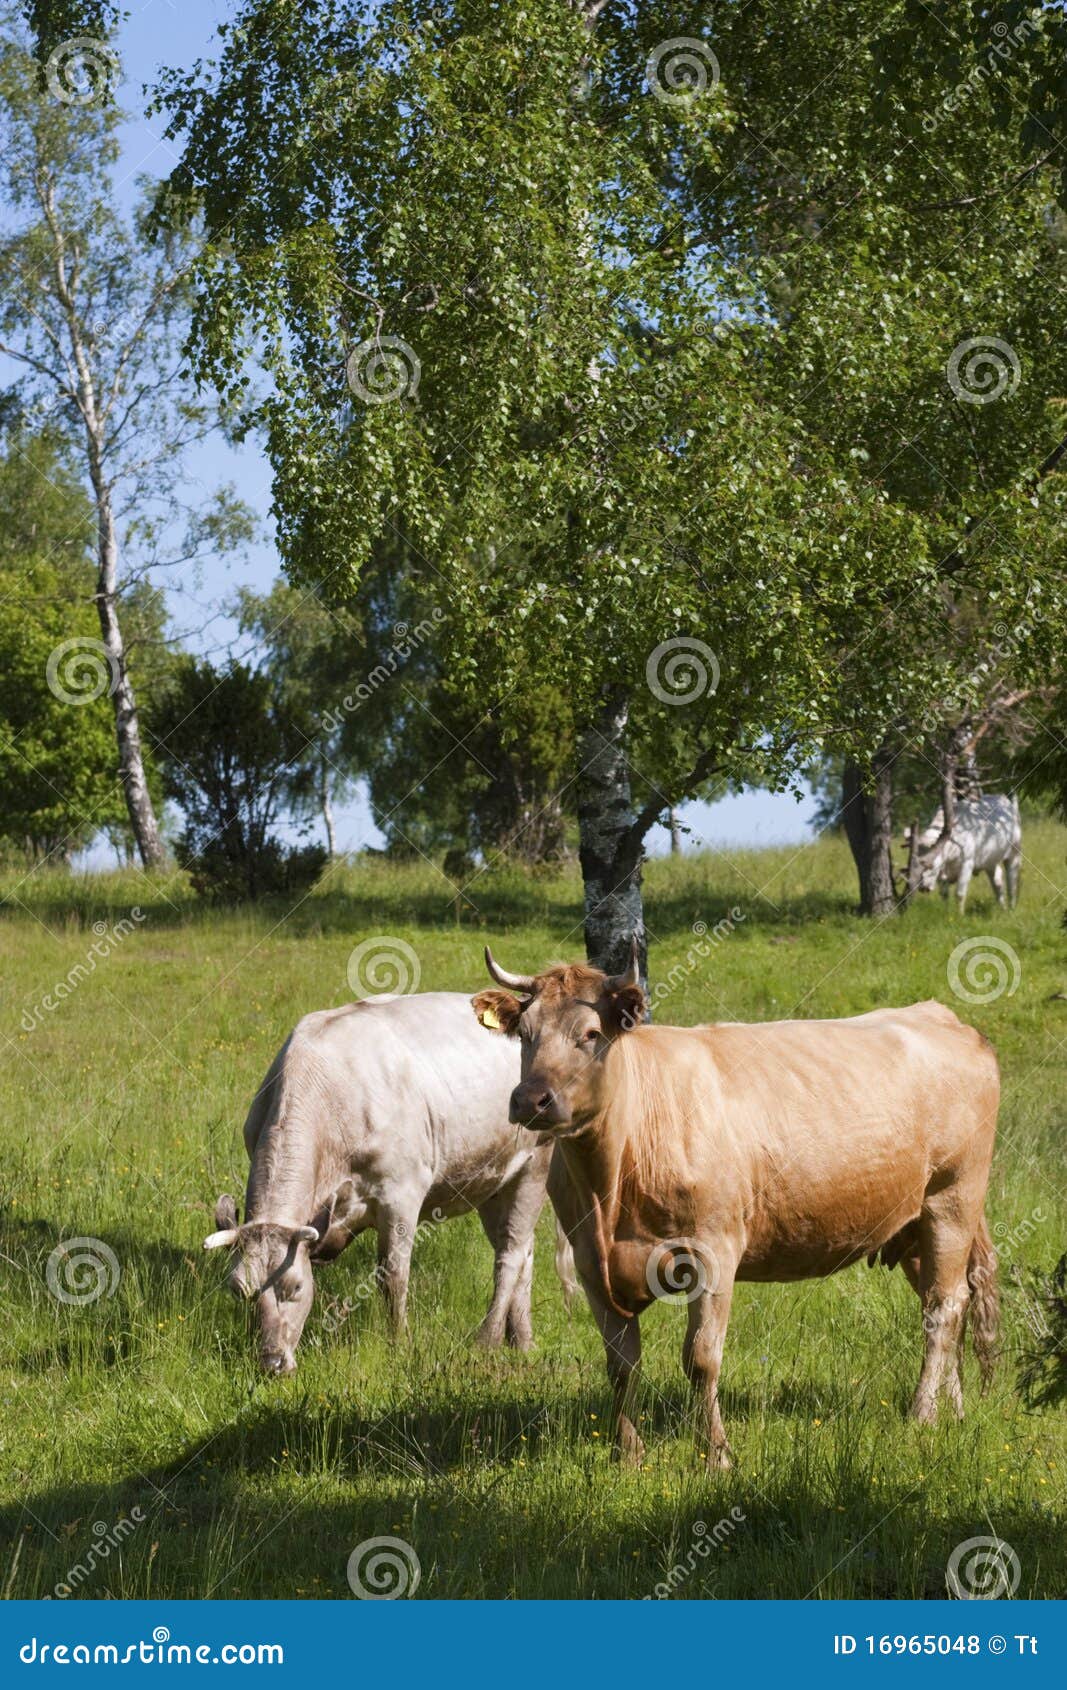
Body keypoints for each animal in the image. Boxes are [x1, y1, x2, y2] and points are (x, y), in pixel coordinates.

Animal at [204, 991, 576, 1375]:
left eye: (295, 1287)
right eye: (239, 1290)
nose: (272, 1362)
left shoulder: (401, 1195)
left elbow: (392, 1276)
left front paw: (399, 1344)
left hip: (535, 1161)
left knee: (511, 1255)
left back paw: (487, 1340)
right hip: (492, 1180)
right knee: (523, 1248)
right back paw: (521, 1340)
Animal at [473, 946, 999, 1472]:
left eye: (590, 1034)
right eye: (524, 1033)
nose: (531, 1099)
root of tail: (939, 1015)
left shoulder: (713, 1250)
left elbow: (701, 1358)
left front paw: (716, 1454)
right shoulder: (589, 1260)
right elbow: (621, 1365)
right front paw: (628, 1455)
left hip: (952, 1201)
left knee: (944, 1307)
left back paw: (922, 1414)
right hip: (914, 1228)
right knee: (946, 1302)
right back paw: (953, 1409)